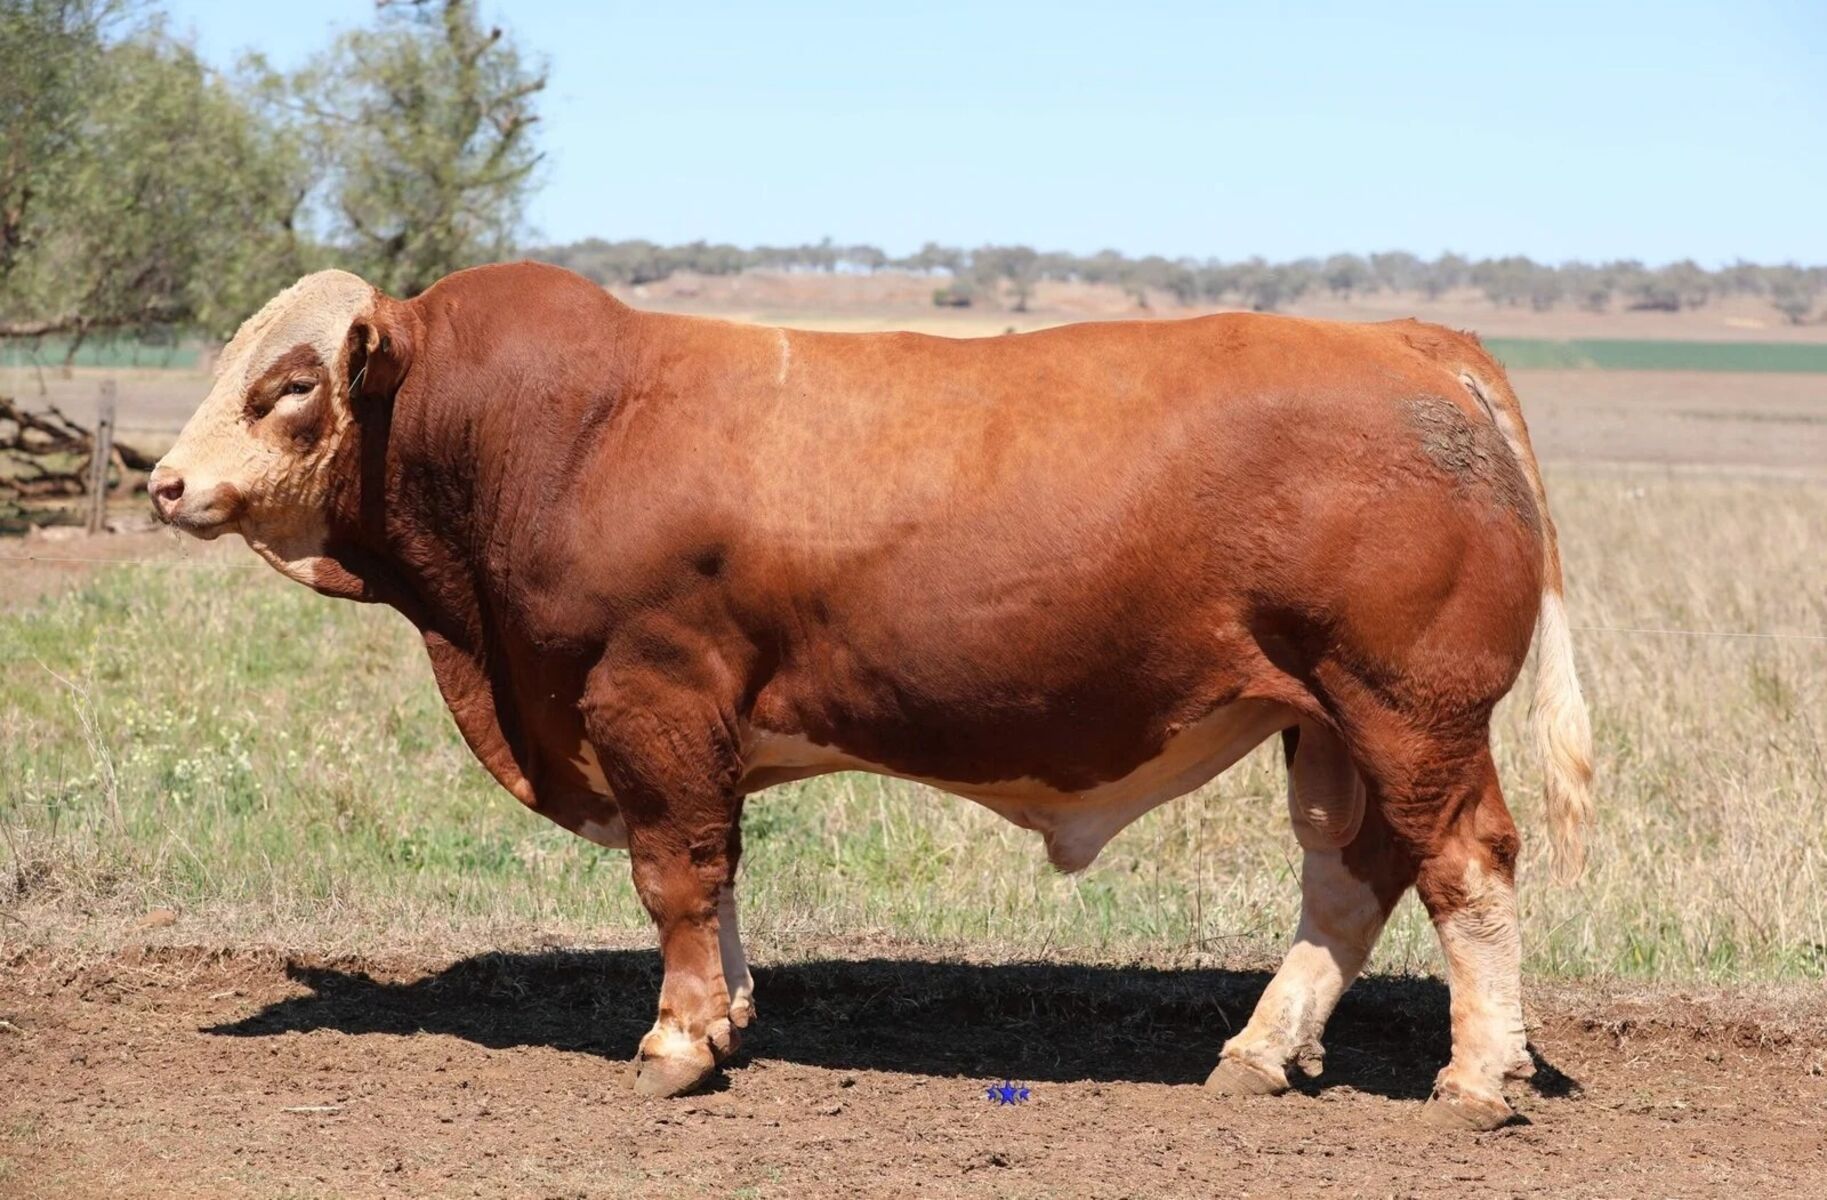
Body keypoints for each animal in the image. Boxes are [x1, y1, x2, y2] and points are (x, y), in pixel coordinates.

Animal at [150, 261, 1592, 1130]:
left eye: (289, 385)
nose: (164, 483)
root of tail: (1411, 343)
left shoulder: (650, 695)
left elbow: (676, 873)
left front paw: (676, 1046)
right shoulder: (696, 730)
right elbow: (719, 869)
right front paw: (730, 1017)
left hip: (1409, 706)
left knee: (1465, 862)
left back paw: (1477, 1075)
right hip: (1322, 719)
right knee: (1348, 877)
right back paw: (1258, 1053)